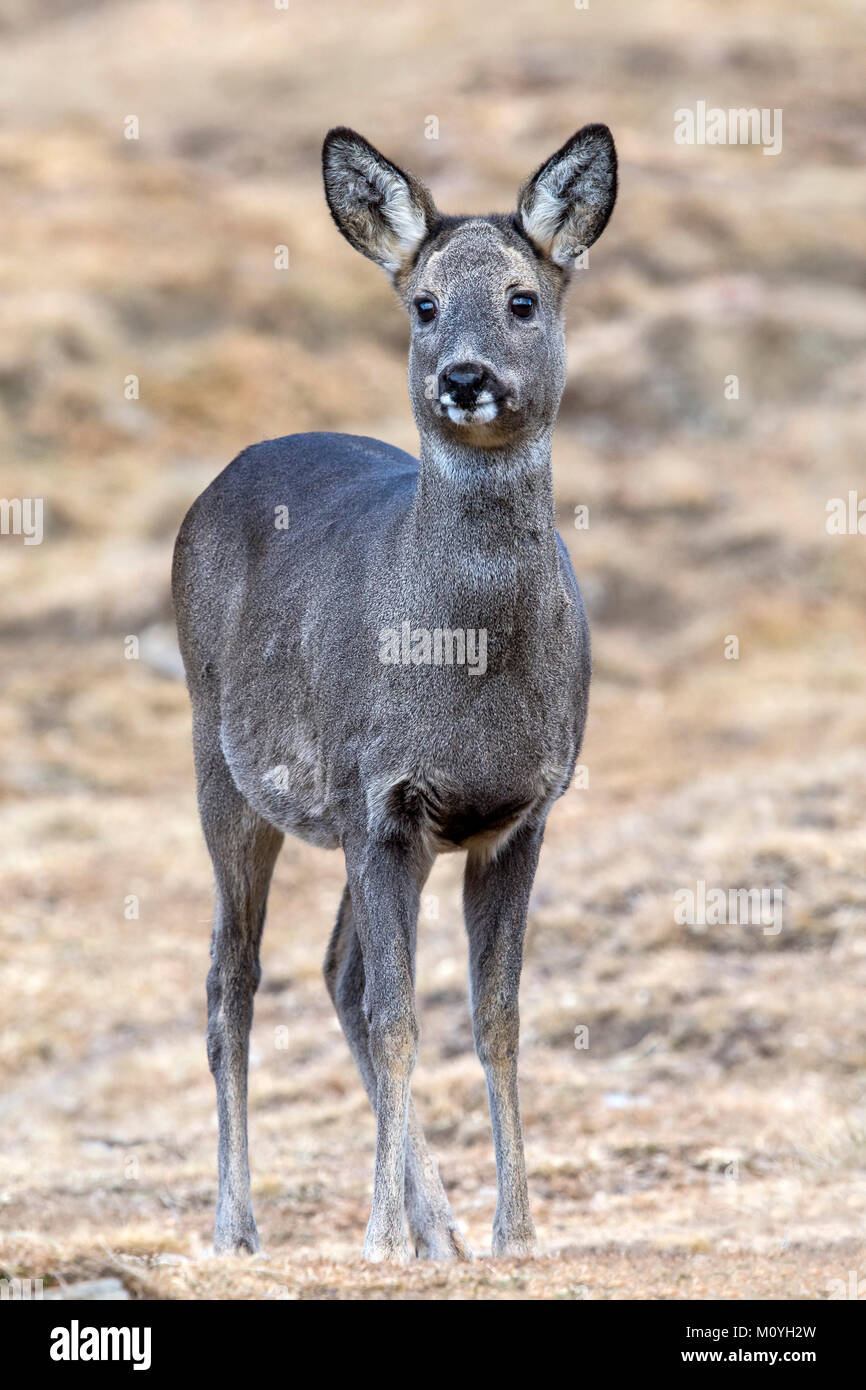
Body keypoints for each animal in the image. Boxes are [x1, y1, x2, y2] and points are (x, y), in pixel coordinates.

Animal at [172, 124, 617, 1263]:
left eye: (522, 298)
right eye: (421, 302)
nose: (463, 376)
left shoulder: (522, 809)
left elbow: (492, 1017)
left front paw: (514, 1230)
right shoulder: (382, 798)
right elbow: (399, 1016)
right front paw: (377, 1236)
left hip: (330, 810)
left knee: (334, 970)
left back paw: (442, 1229)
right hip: (223, 765)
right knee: (232, 978)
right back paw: (237, 1226)